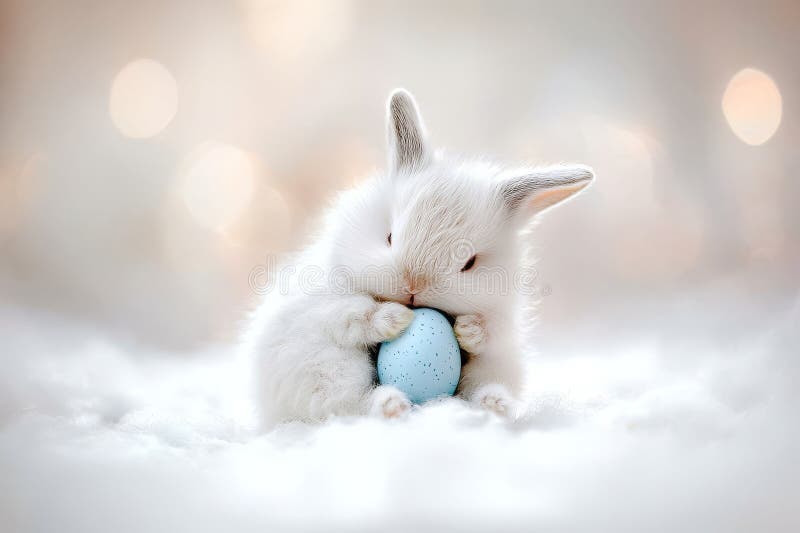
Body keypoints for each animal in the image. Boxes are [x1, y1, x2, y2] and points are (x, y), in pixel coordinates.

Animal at [244, 89, 593, 428]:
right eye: (390, 237)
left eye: (469, 263)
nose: (413, 288)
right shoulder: (323, 302)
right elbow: (355, 312)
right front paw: (396, 318)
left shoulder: (505, 319)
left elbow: (494, 330)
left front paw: (468, 330)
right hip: (330, 374)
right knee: (354, 405)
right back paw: (393, 406)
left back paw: (493, 405)